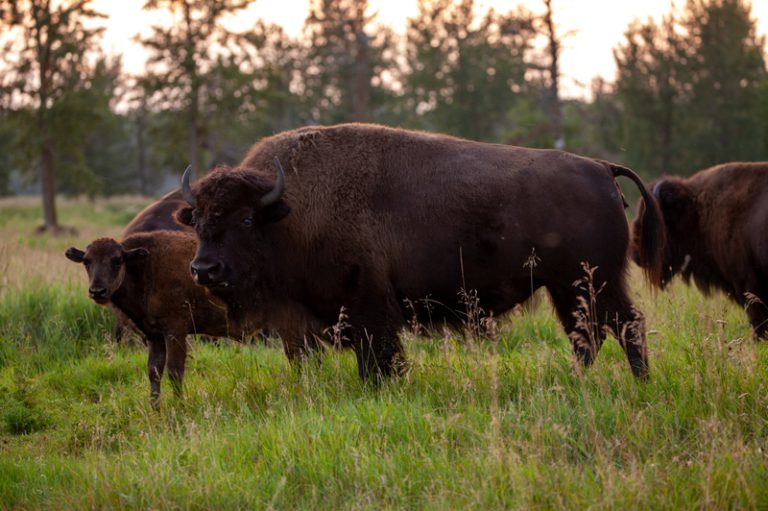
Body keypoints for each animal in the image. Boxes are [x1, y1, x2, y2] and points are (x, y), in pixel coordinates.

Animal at [65, 231, 258, 402]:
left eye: (117, 260)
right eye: (86, 261)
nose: (97, 291)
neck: (145, 267)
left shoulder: (175, 331)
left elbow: (174, 371)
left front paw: (179, 409)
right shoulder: (154, 336)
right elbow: (154, 372)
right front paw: (155, 410)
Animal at [178, 124, 664, 381]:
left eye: (245, 220)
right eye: (197, 221)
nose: (204, 269)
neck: (288, 212)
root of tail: (601, 167)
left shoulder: (369, 309)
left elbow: (378, 359)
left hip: (592, 280)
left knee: (624, 325)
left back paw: (638, 382)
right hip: (567, 288)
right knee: (588, 334)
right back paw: (577, 381)